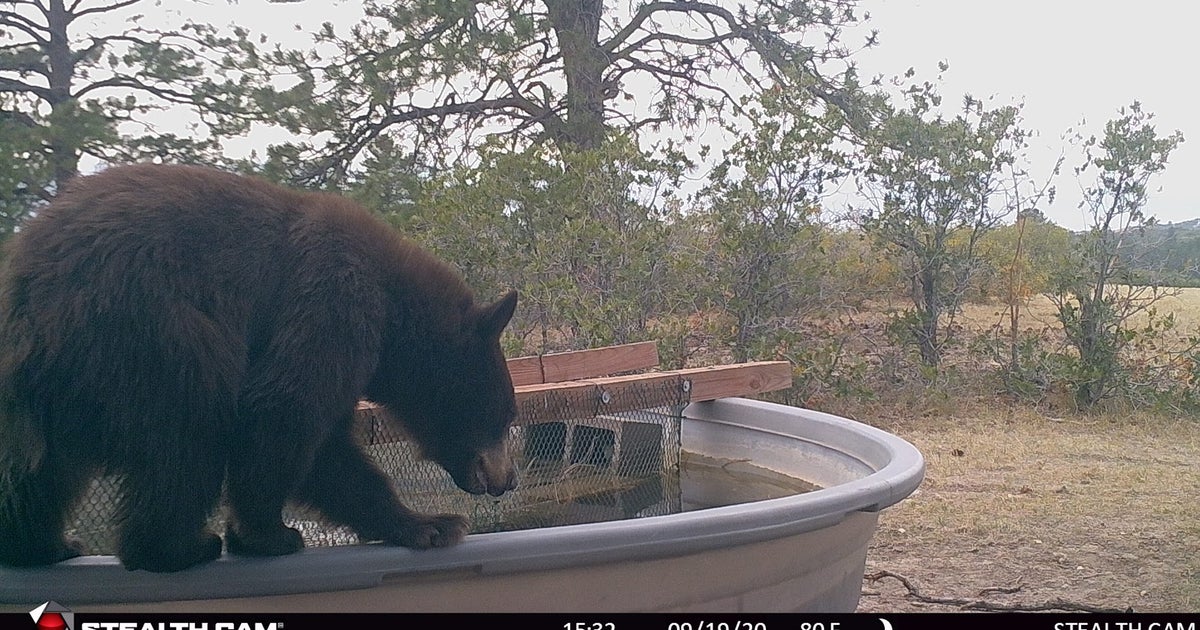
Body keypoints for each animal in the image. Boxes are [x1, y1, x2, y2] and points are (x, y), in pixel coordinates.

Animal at [0, 163, 519, 572]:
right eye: (506, 417)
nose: (508, 480)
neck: (395, 315)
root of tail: (28, 292)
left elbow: (328, 450)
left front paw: (422, 523)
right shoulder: (334, 299)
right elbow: (284, 408)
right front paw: (267, 535)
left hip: (53, 387)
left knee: (42, 469)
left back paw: (40, 544)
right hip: (145, 332)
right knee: (191, 429)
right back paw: (175, 547)